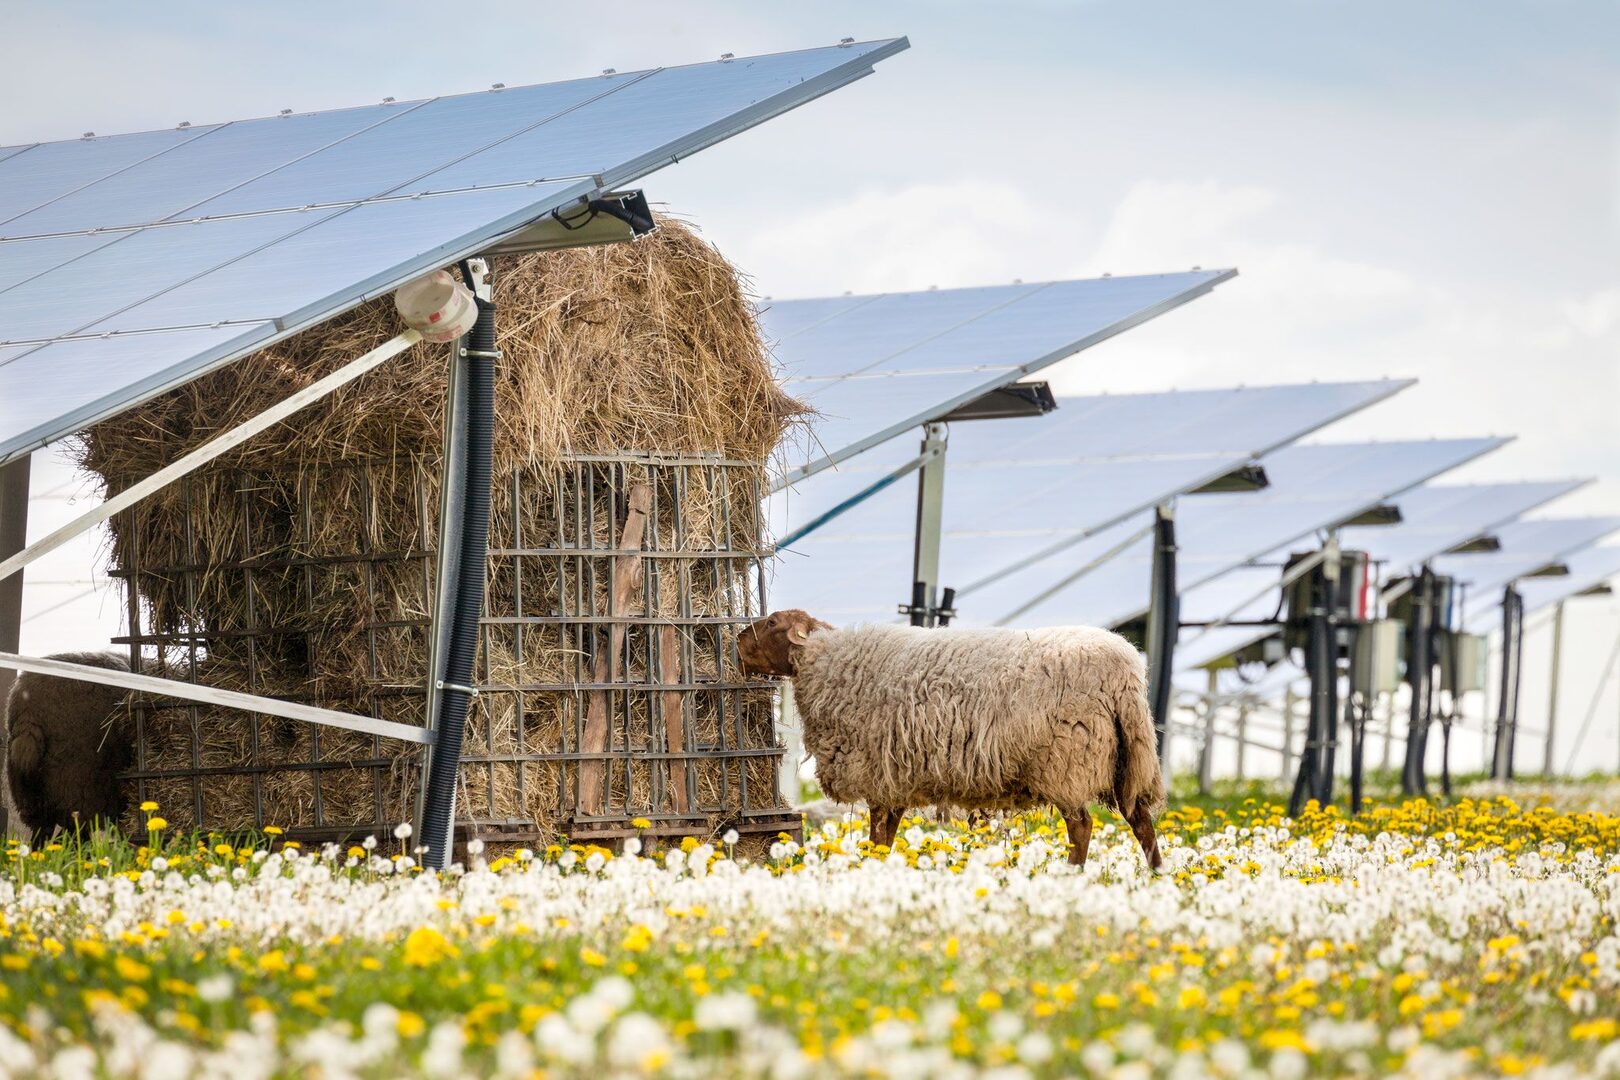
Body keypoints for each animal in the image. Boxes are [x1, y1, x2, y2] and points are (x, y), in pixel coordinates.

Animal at [741, 608, 1172, 867]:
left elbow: (878, 833)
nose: (737, 643)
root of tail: (1123, 670)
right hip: (1127, 758)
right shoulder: (896, 776)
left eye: (772, 623)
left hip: (1066, 761)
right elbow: (886, 833)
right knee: (1141, 821)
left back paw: (1073, 873)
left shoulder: (878, 771)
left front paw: (873, 867)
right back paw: (1155, 875)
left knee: (1082, 827)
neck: (828, 660)